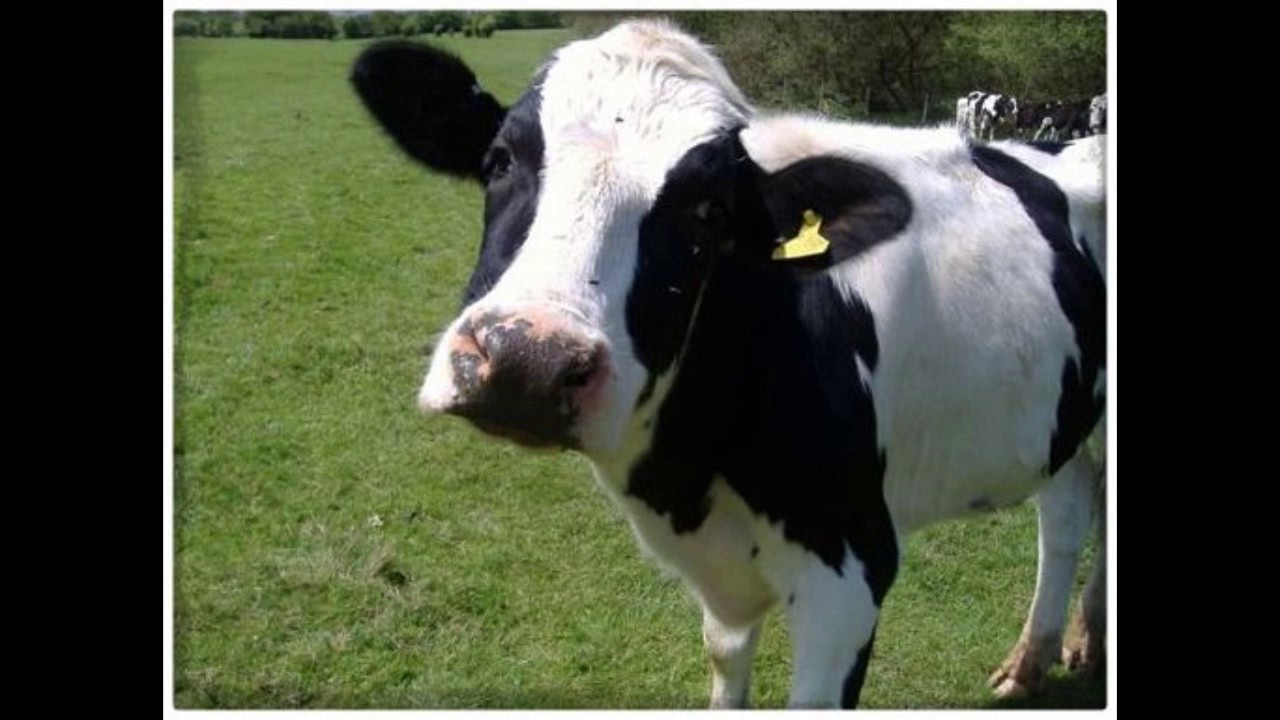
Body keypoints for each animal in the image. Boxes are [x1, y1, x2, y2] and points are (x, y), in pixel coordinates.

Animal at [351, 19, 1106, 709]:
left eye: (709, 210)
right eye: (500, 159)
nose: (528, 361)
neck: (688, 473)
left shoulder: (852, 569)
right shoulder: (719, 579)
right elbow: (724, 656)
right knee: (1070, 504)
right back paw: (1039, 658)